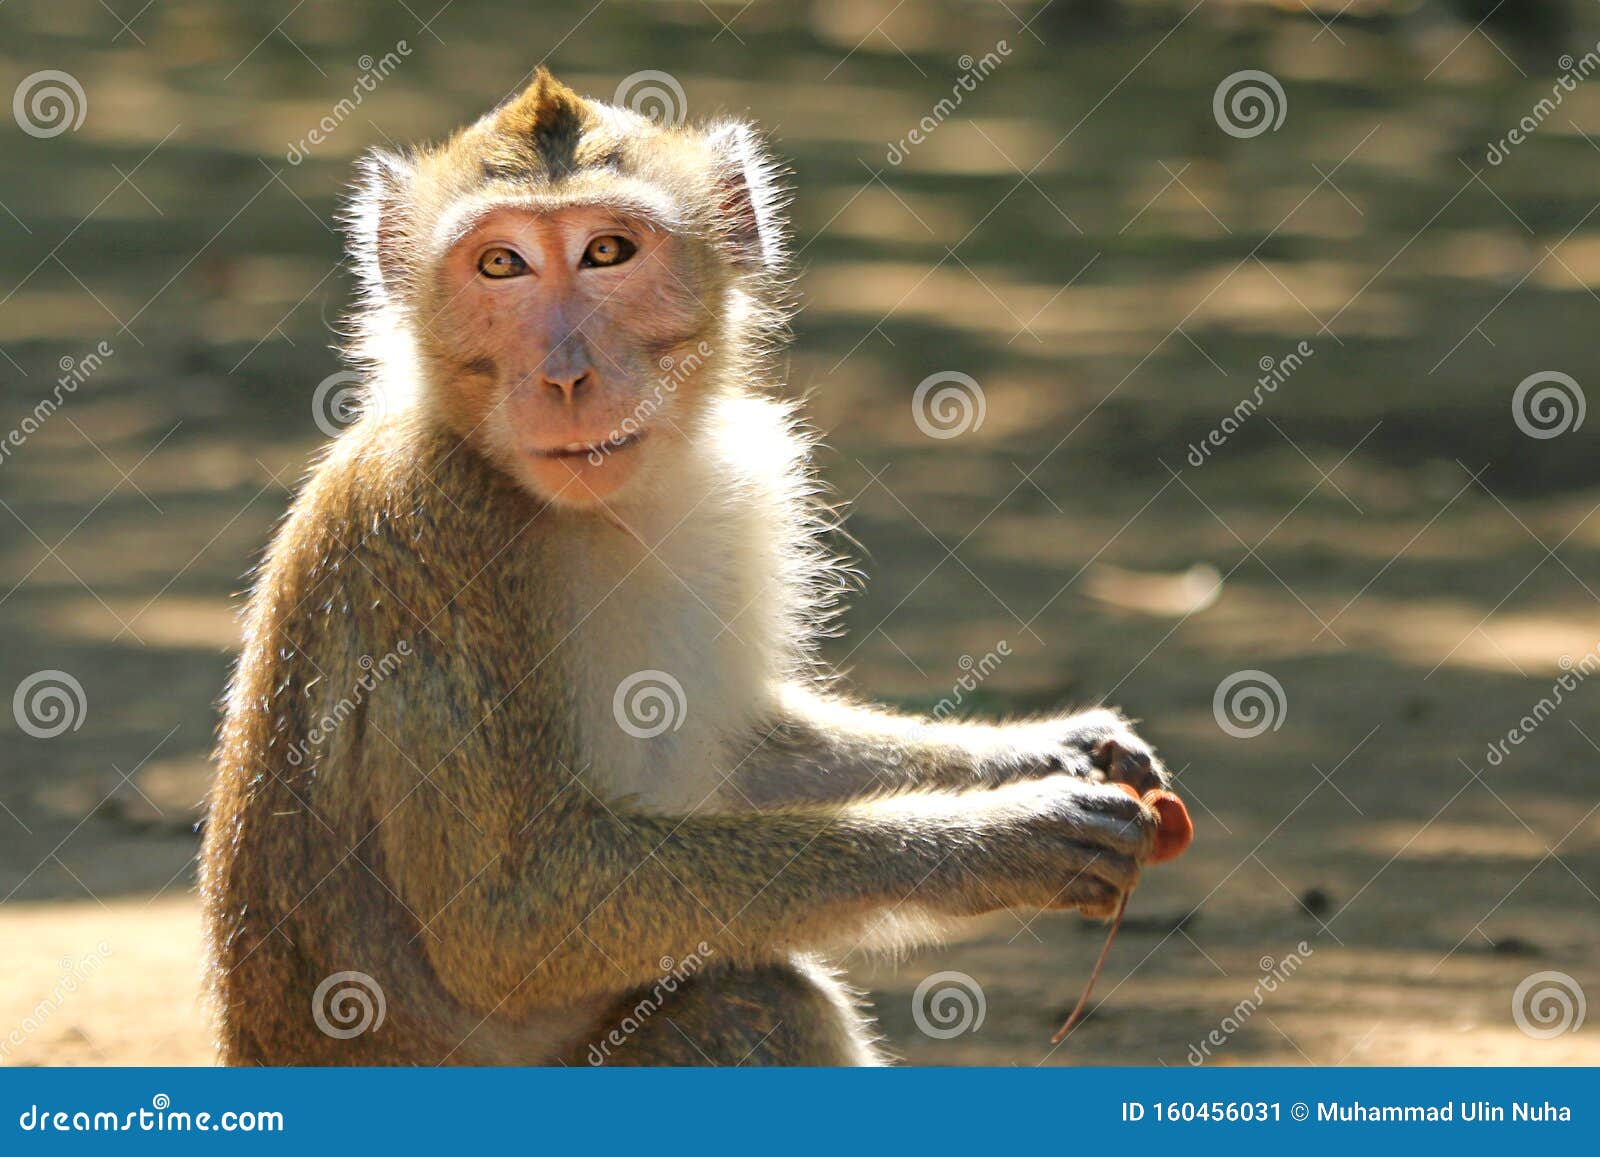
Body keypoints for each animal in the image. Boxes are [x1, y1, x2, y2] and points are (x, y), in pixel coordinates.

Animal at [200, 68, 1172, 1067]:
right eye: (501, 265)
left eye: (607, 252)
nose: (564, 375)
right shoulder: (439, 526)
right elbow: (504, 922)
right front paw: (995, 839)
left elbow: (745, 757)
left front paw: (1051, 747)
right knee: (763, 1004)